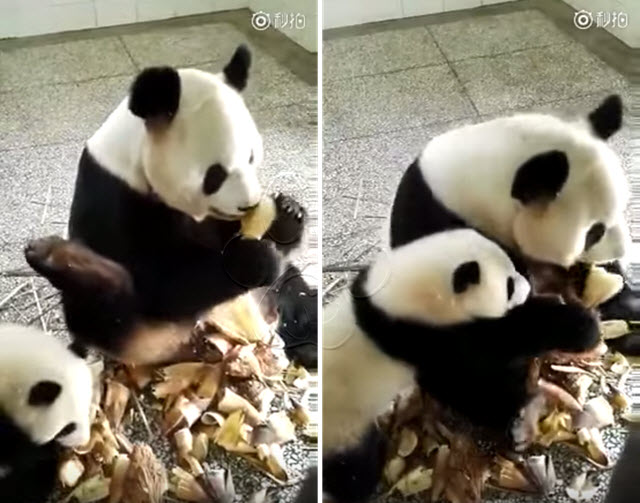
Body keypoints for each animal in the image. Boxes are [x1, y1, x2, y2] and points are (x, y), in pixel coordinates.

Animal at [24, 45, 308, 365]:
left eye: (251, 157)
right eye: (215, 175)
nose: (249, 205)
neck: (134, 158)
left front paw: (287, 215)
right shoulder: (113, 196)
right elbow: (163, 284)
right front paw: (253, 258)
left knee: (294, 290)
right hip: (114, 322)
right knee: (109, 301)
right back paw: (56, 256)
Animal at [322, 229, 600, 502]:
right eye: (509, 286)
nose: (528, 285)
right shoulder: (417, 338)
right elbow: (479, 369)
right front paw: (578, 327)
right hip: (344, 426)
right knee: (353, 470)